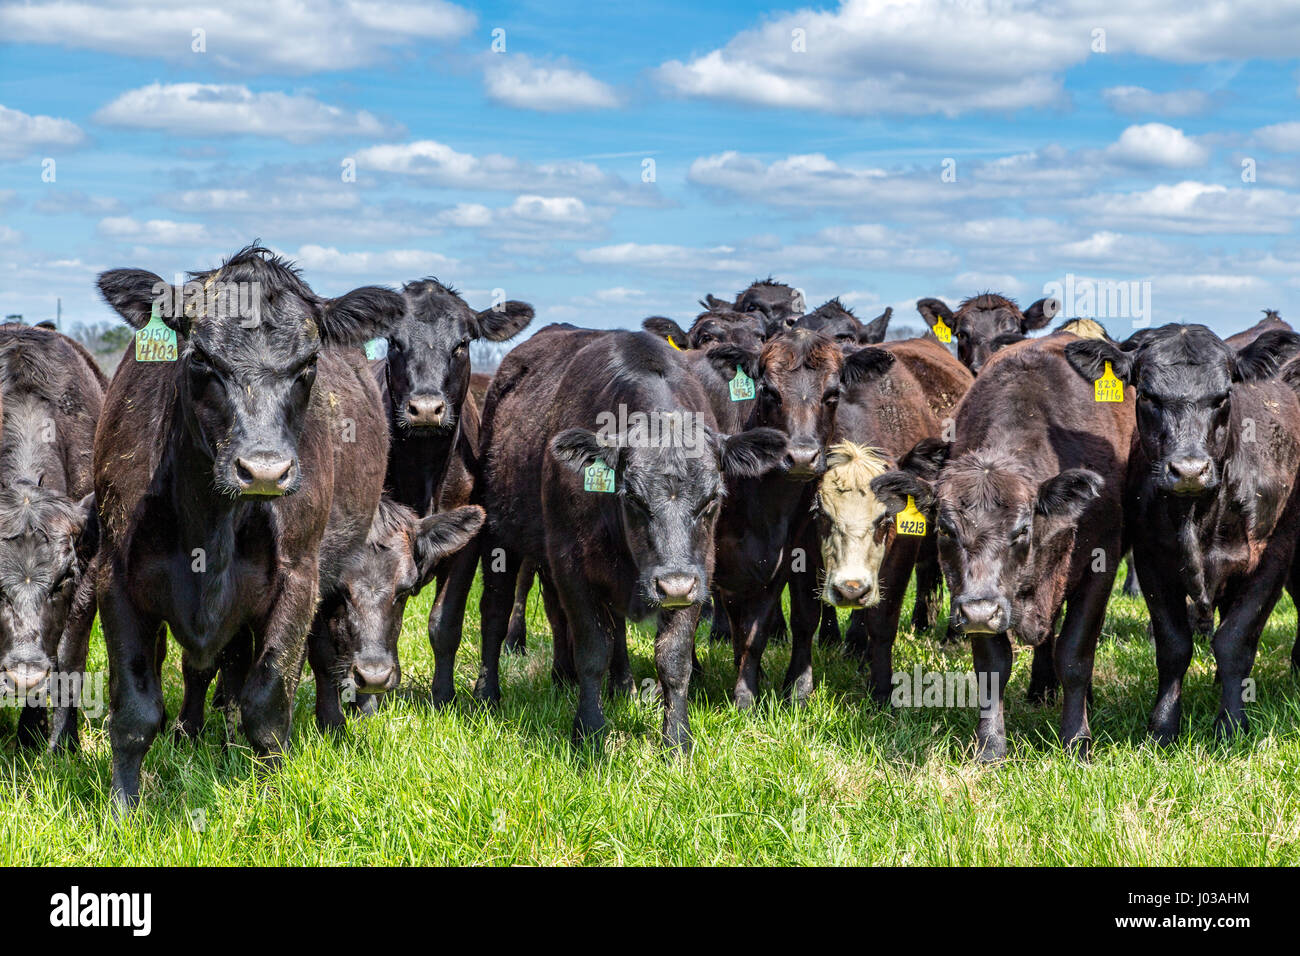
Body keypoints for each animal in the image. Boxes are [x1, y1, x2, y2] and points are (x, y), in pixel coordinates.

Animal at [93, 244, 407, 810]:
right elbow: (133, 712)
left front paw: (272, 796)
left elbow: (268, 704)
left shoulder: (298, 580)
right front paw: (124, 808)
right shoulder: (115, 576)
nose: (264, 470)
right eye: (199, 357)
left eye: (309, 363)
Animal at [880, 333, 1134, 761]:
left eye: (1022, 530)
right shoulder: (972, 593)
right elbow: (993, 665)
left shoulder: (1102, 565)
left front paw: (1077, 740)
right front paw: (991, 745)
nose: (981, 611)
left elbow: (1076, 656)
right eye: (945, 530)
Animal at [1064, 325, 1300, 744]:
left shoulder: (1274, 555)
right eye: (1146, 395)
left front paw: (1231, 726)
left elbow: (1235, 641)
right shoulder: (1152, 560)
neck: (1198, 517)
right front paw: (1162, 727)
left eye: (1223, 396)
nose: (1188, 470)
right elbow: (1174, 646)